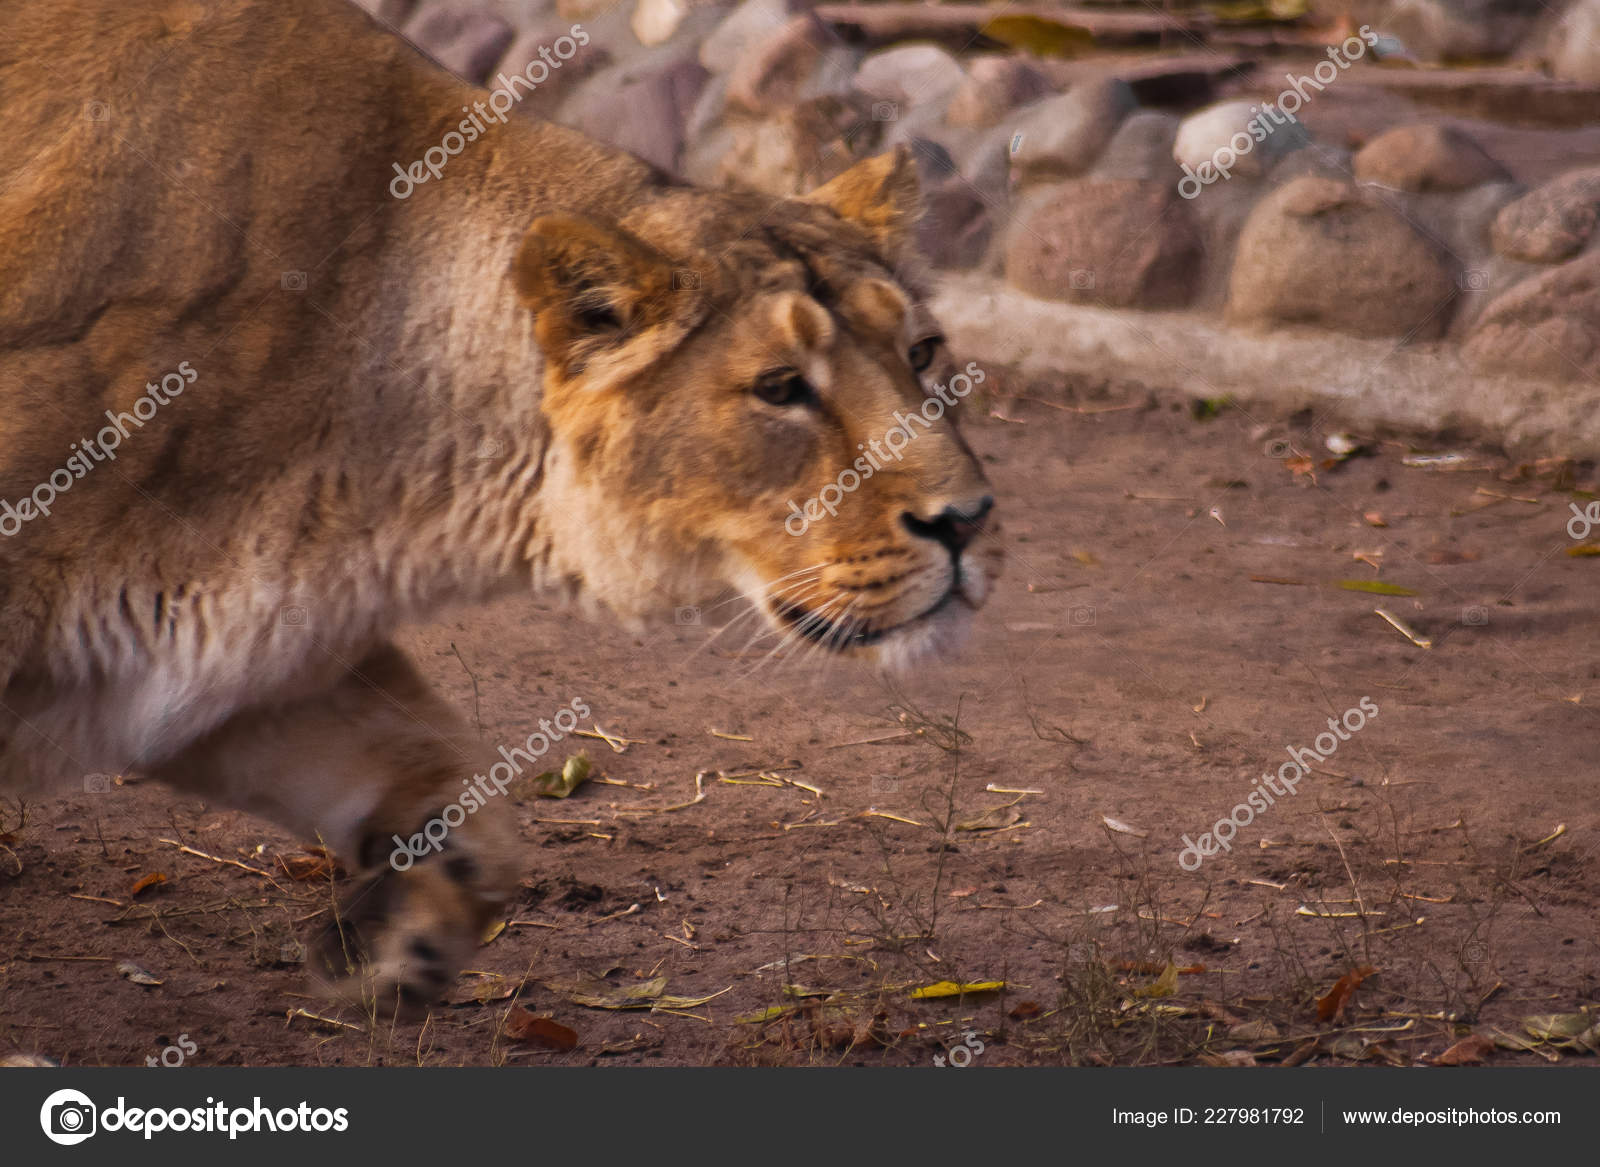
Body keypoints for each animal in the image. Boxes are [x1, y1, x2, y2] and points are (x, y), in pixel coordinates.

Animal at [0, 0, 1001, 1011]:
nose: (967, 520)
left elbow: (455, 791)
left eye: (922, 353)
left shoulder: (226, 650)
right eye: (781, 388)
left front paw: (388, 941)